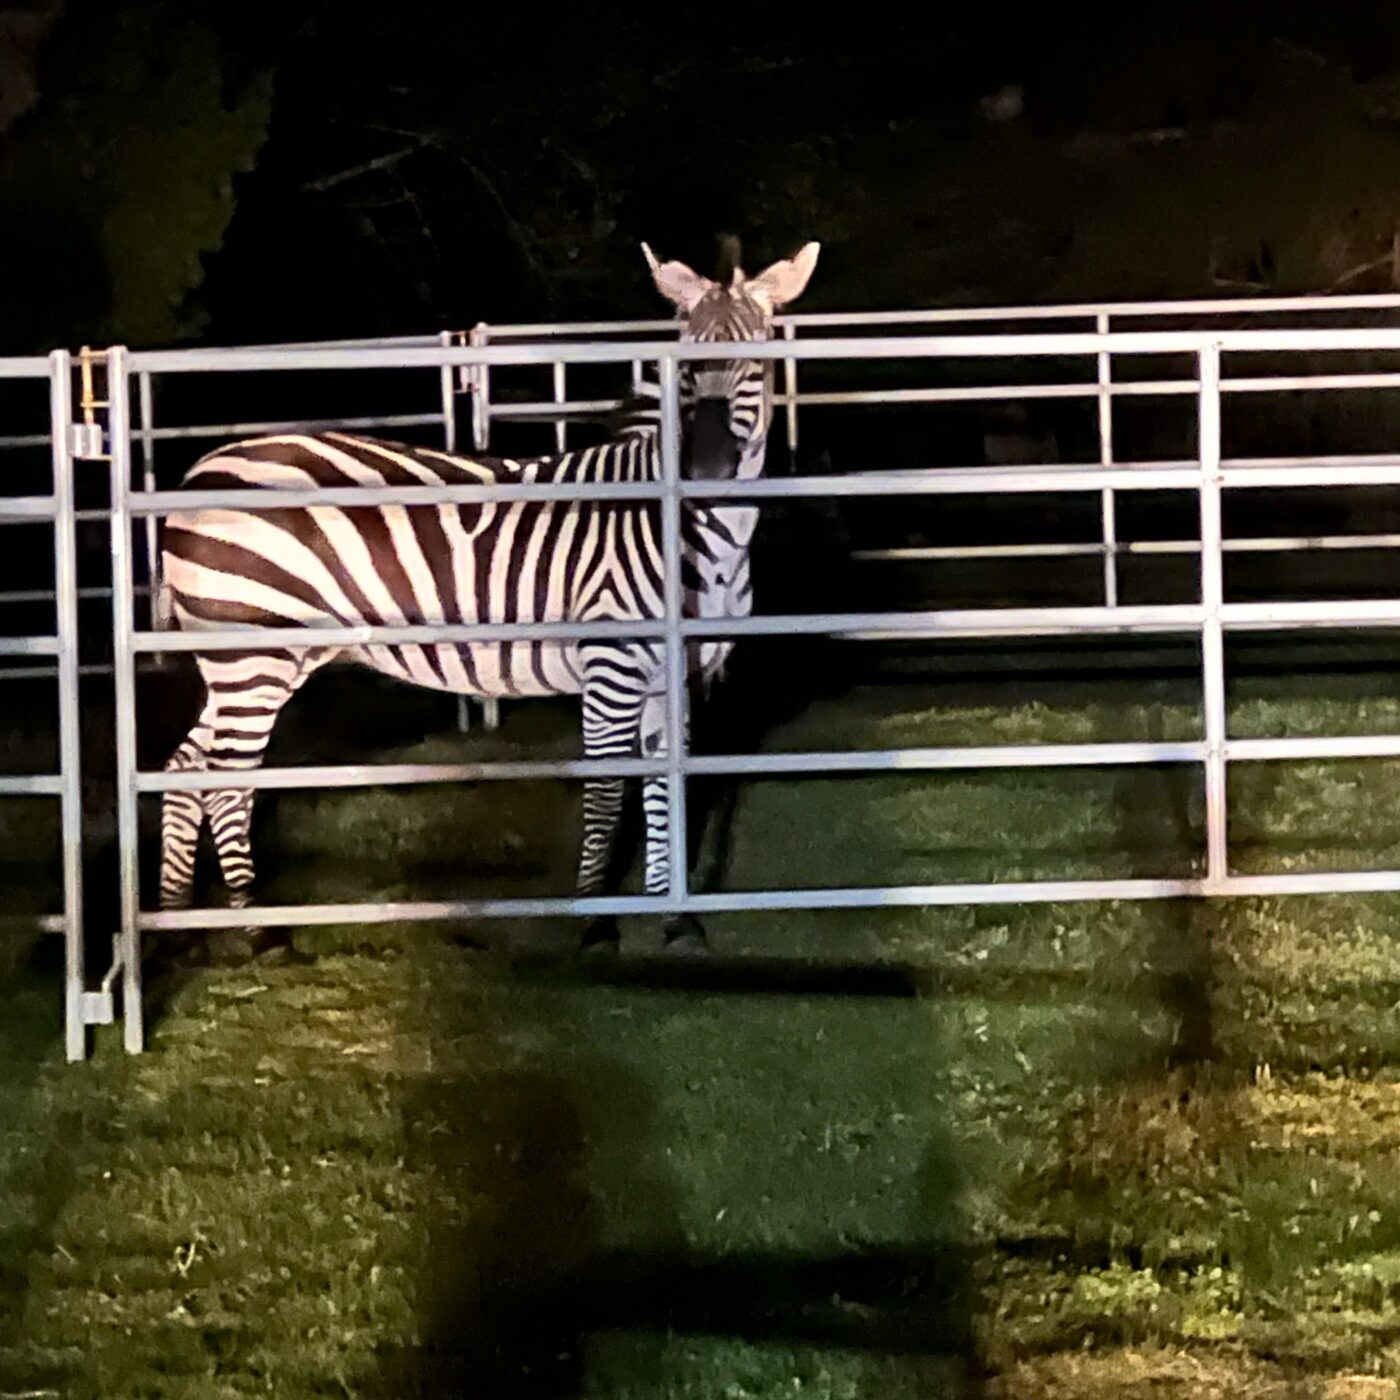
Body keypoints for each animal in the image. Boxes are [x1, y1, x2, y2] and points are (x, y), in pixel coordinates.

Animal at [158, 239, 820, 957]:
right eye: (686, 365)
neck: (689, 529)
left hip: (248, 661)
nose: (706, 464)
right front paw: (594, 922)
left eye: (757, 362)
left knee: (185, 766)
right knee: (225, 782)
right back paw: (258, 931)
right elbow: (606, 794)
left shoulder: (671, 676)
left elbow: (664, 785)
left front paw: (673, 918)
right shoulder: (610, 667)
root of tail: (199, 471)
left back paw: (173, 922)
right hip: (254, 654)